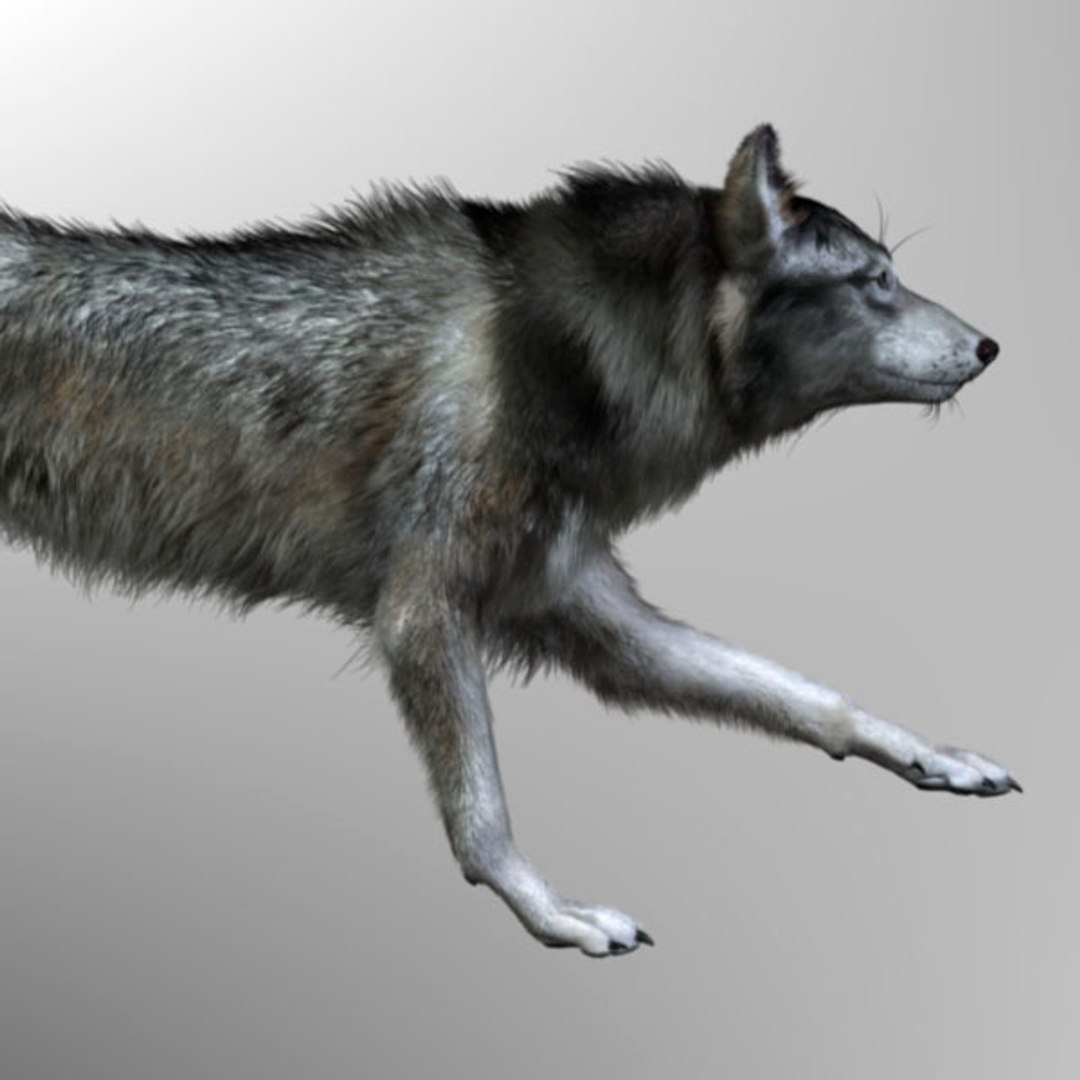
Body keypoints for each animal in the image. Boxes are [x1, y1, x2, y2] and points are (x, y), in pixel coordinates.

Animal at [0, 124, 1017, 957]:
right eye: (875, 283)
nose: (993, 348)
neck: (561, 352)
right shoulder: (420, 613)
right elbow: (482, 814)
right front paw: (550, 911)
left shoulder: (592, 615)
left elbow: (811, 699)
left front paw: (930, 753)